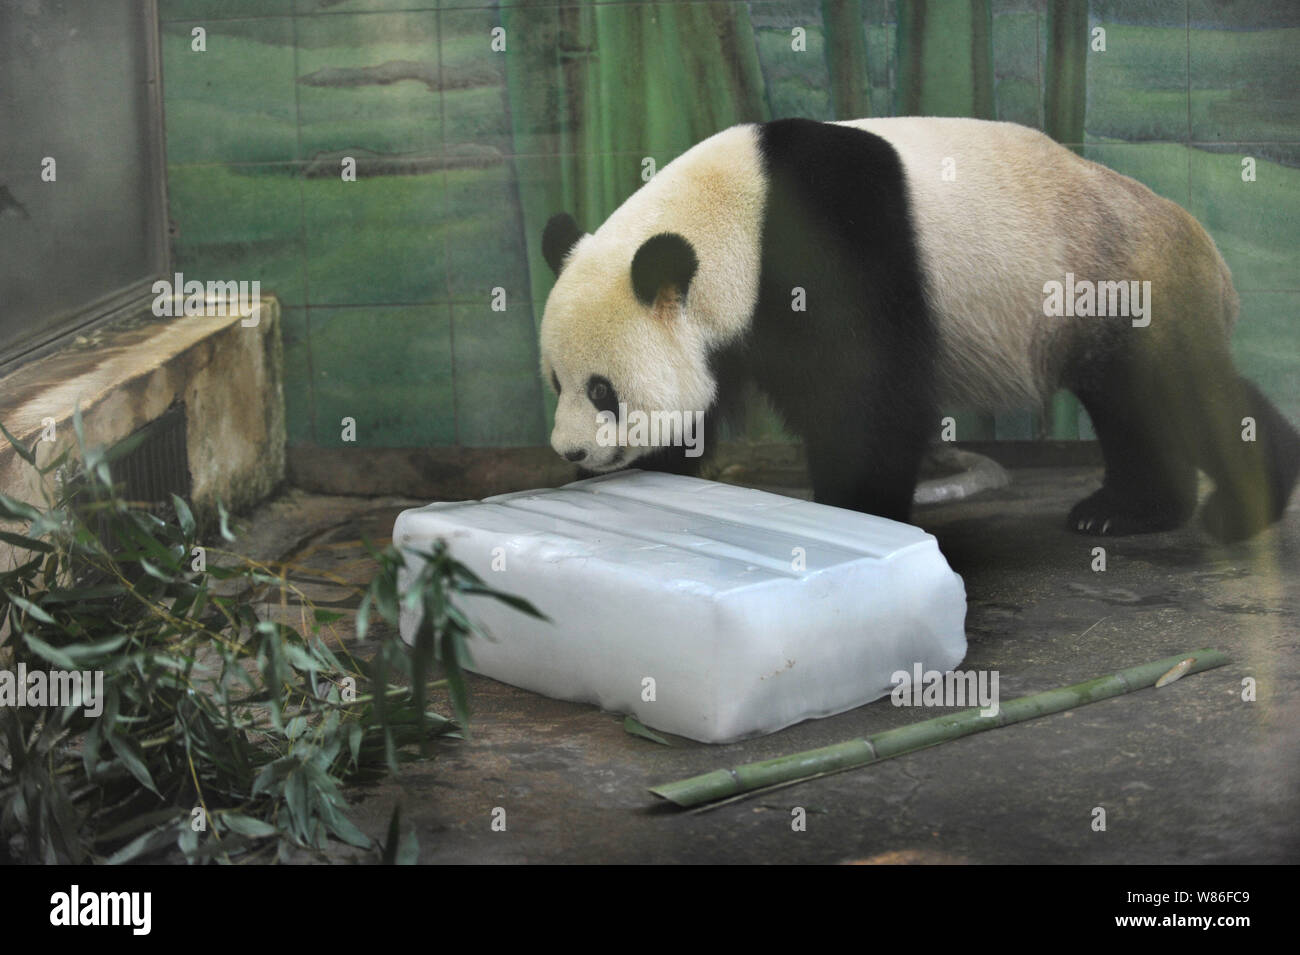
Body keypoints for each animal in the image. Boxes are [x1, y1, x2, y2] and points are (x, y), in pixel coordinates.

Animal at [538, 117, 1300, 542]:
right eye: (556, 381)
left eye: (602, 389)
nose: (571, 451)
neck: (733, 220)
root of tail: (1210, 252)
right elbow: (697, 410)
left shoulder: (834, 245)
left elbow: (869, 397)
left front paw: (857, 517)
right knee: (1132, 406)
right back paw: (1127, 511)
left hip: (1122, 281)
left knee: (1181, 391)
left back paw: (1242, 505)